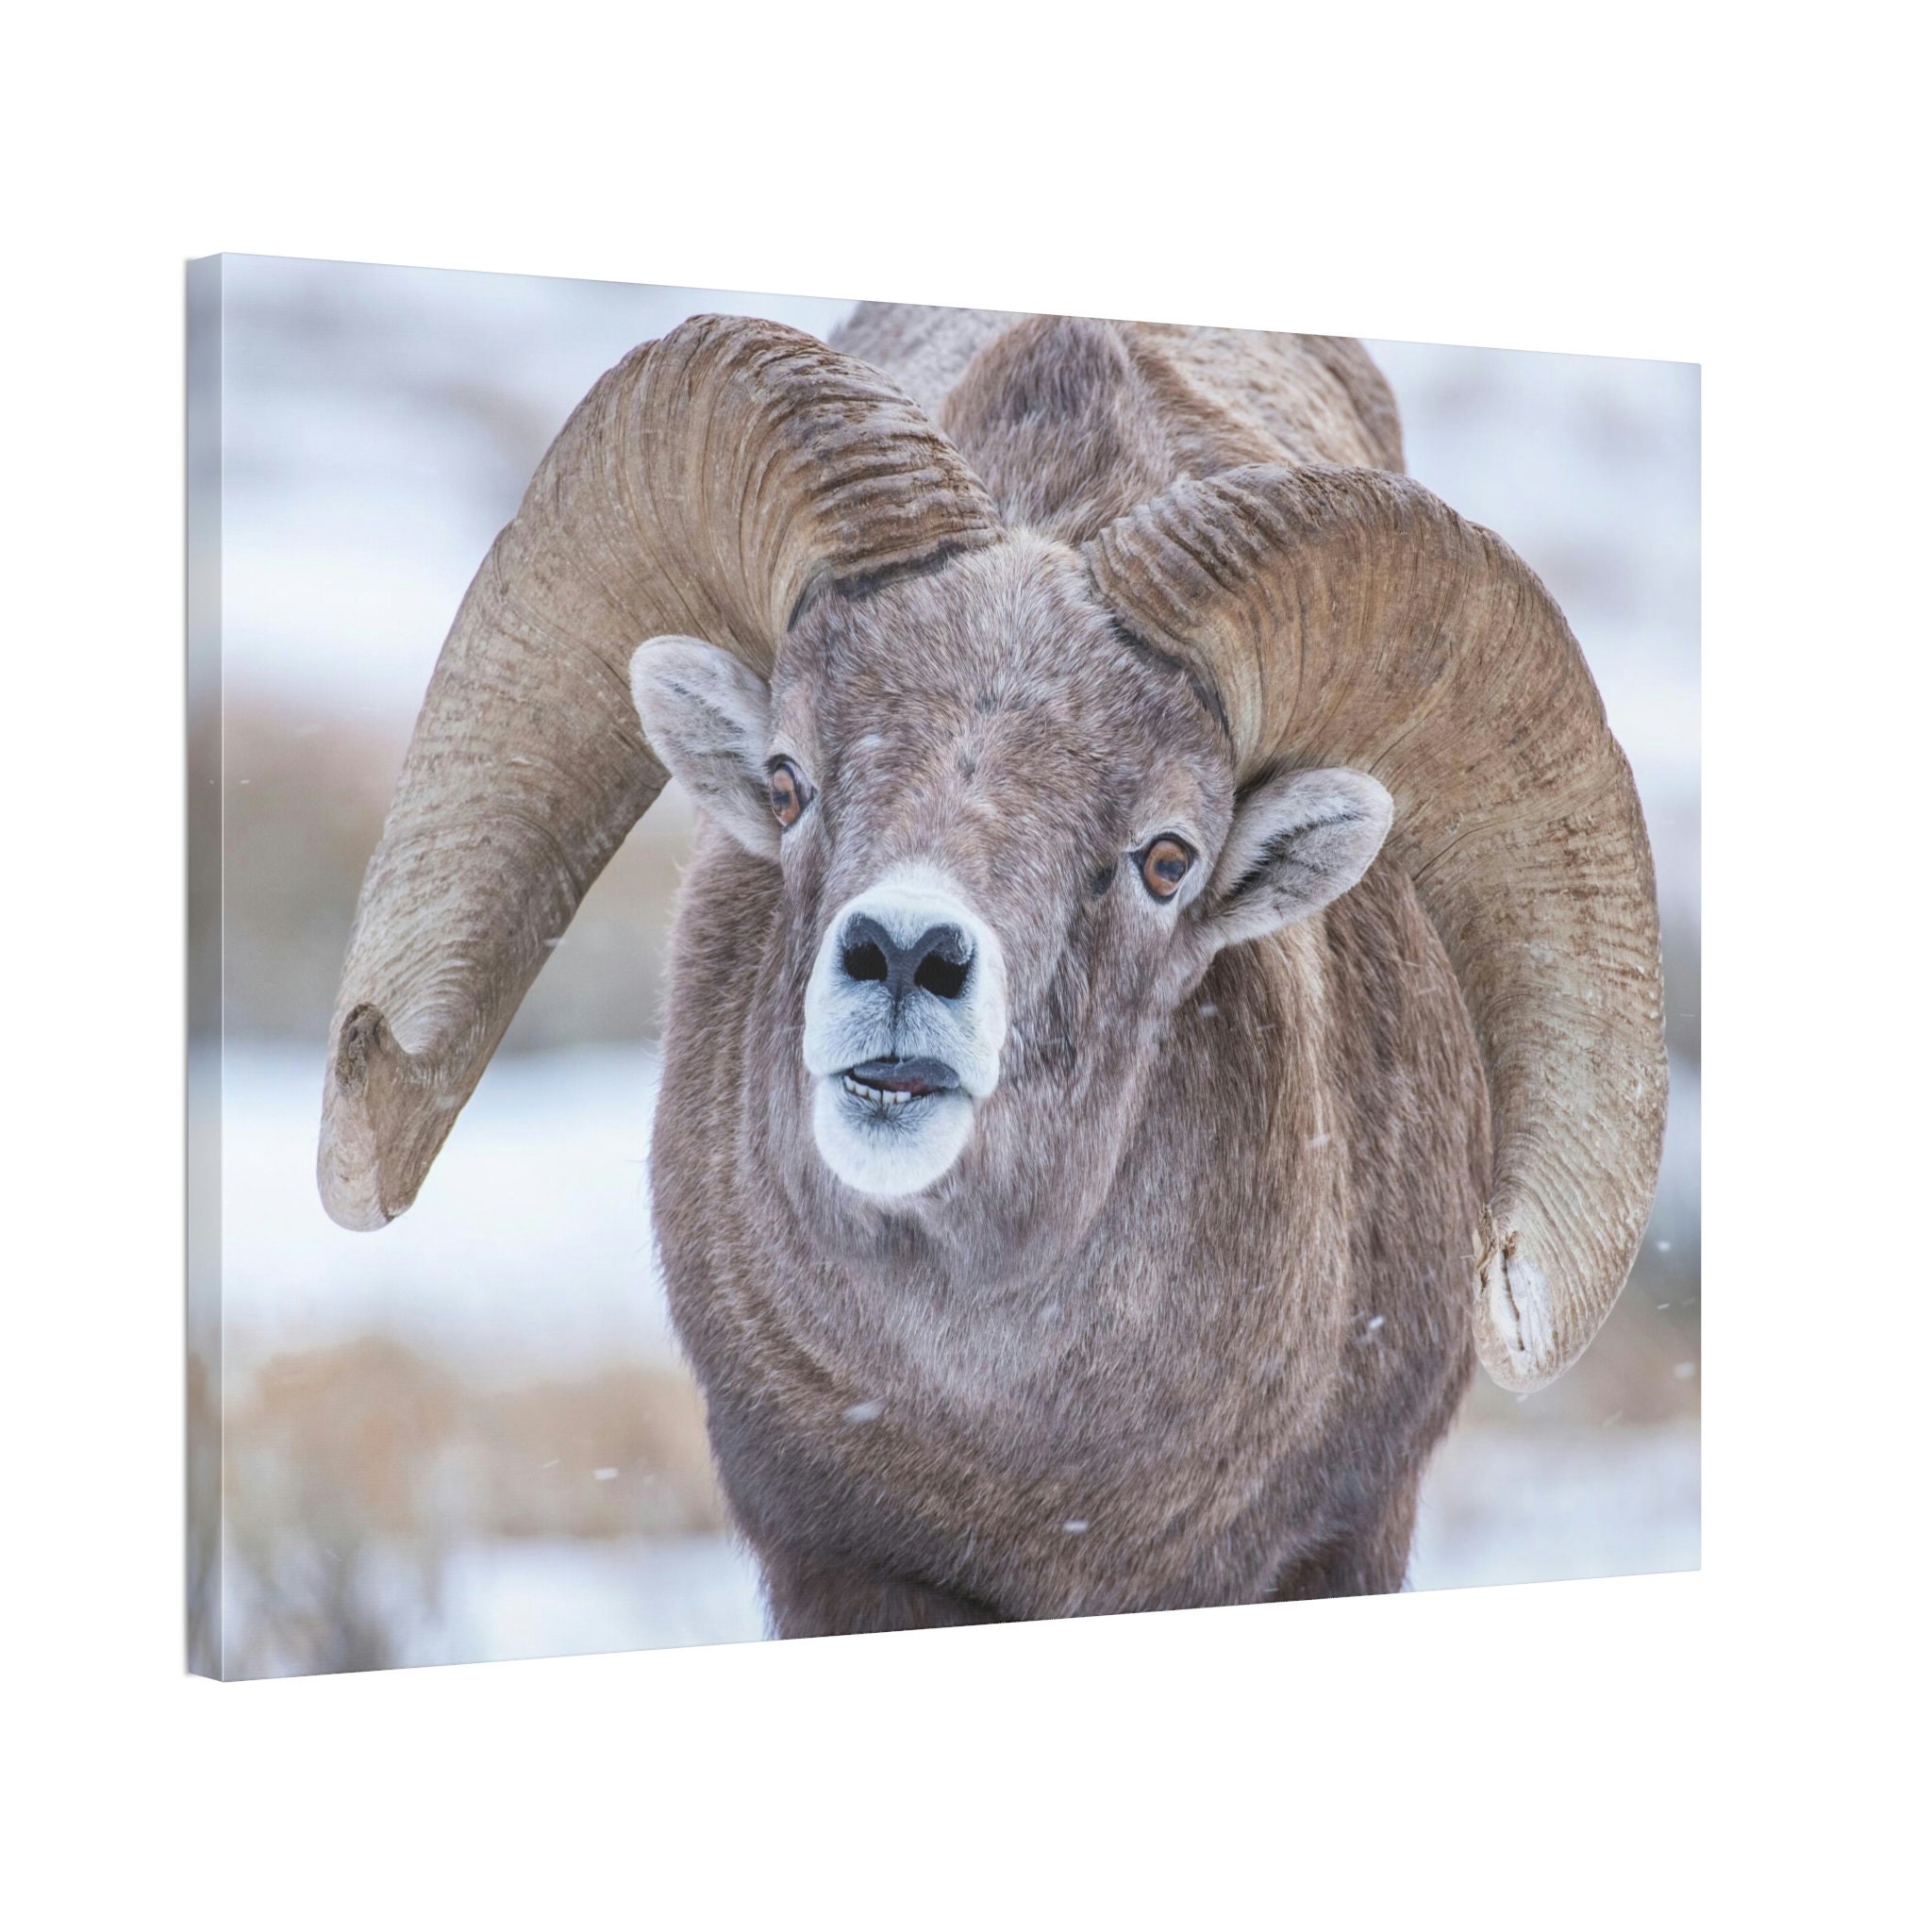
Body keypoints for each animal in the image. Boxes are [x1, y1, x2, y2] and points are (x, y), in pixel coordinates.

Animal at [317, 302, 1667, 1635]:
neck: (1027, 1470)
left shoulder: (1338, 1541)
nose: (904, 956)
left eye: (1167, 857)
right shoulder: (843, 1569)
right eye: (789, 781)